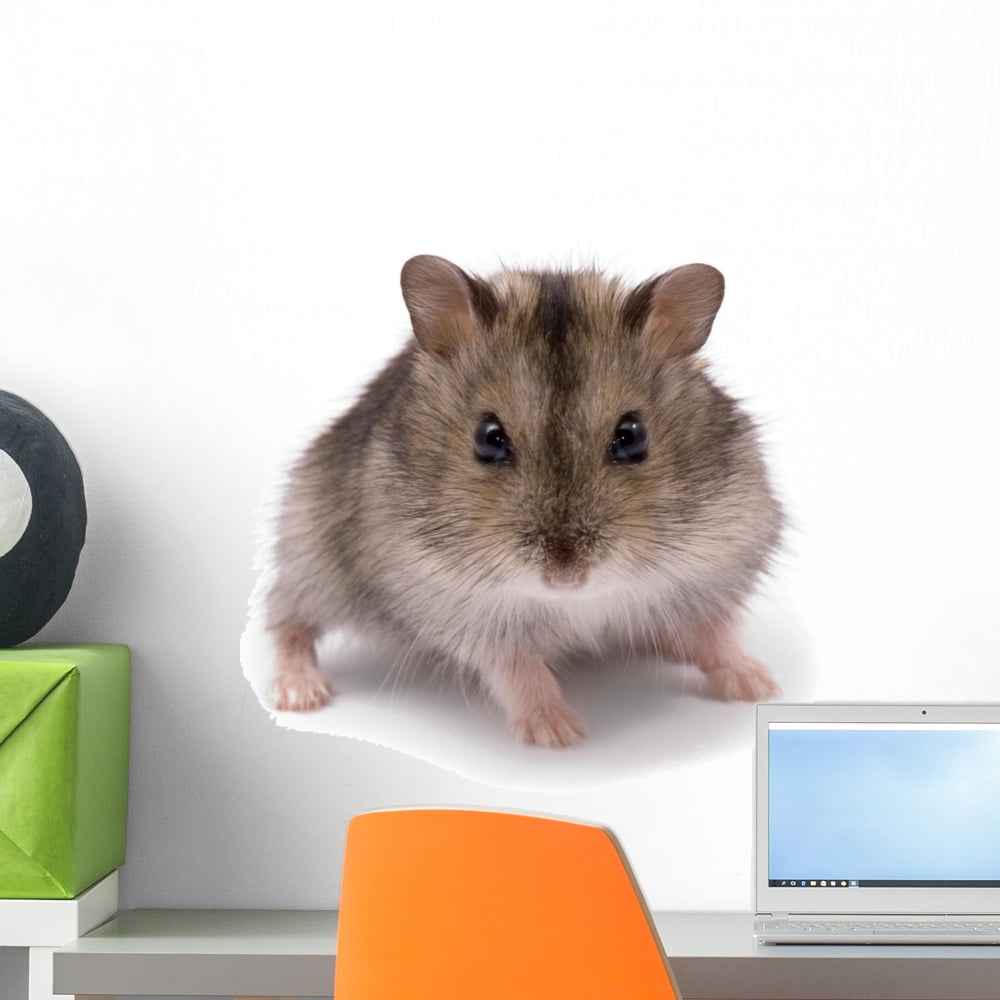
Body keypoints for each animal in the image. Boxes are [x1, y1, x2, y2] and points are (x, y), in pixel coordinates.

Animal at [265, 255, 783, 747]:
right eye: (488, 438)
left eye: (632, 436)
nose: (565, 577)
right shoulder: (459, 606)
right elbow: (517, 669)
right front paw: (558, 734)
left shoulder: (715, 564)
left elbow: (716, 634)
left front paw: (757, 686)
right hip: (311, 551)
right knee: (287, 619)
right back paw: (298, 693)